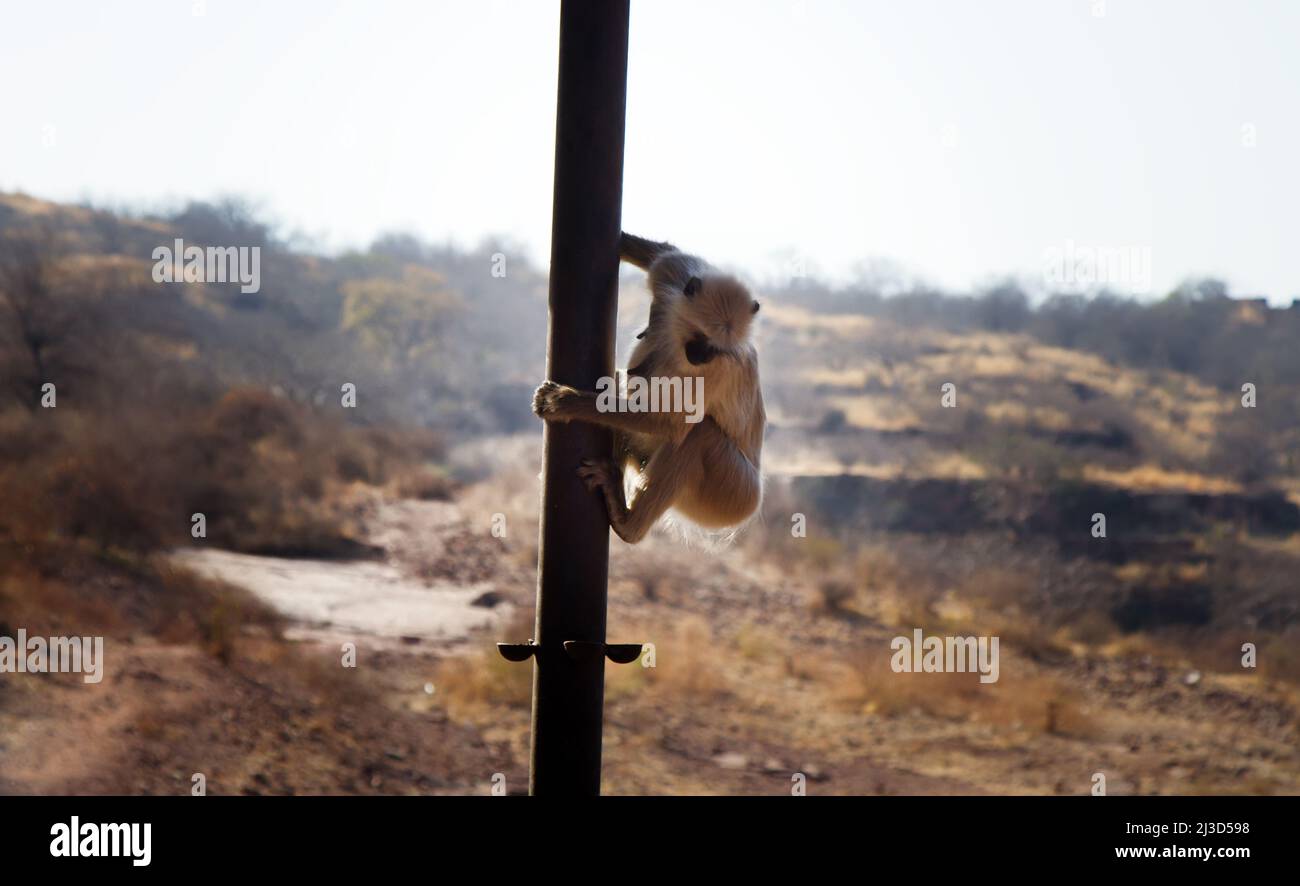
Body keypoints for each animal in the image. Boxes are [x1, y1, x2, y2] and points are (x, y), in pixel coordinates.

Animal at [532, 232, 765, 544]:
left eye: (714, 349)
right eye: (700, 339)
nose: (699, 357)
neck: (678, 341)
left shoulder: (718, 369)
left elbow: (674, 425)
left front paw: (566, 402)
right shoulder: (674, 277)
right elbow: (663, 254)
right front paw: (624, 243)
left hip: (732, 493)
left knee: (700, 433)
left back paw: (627, 525)